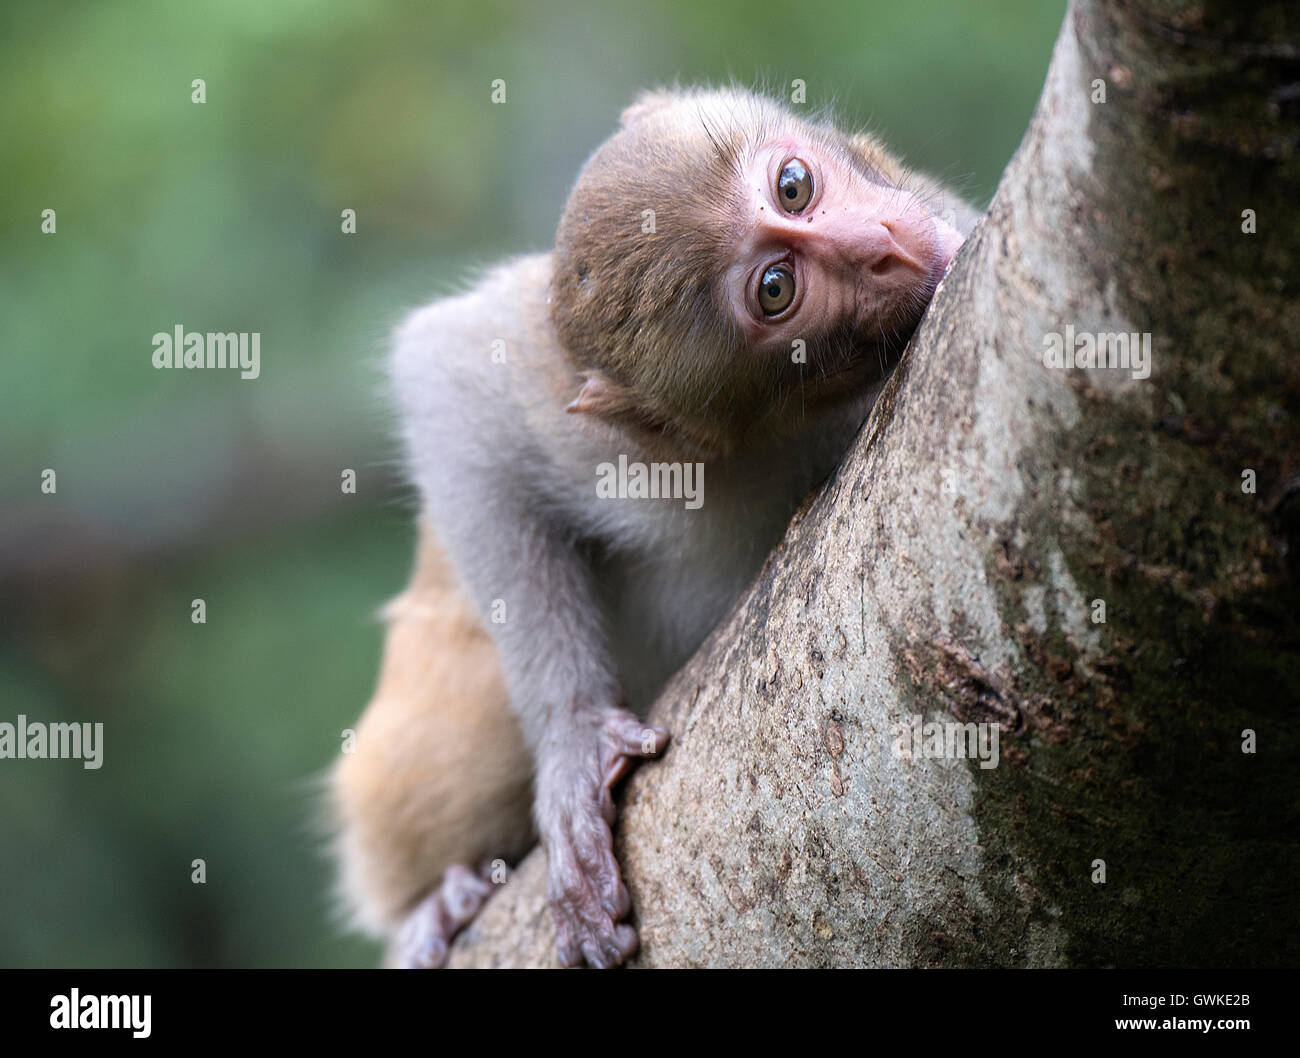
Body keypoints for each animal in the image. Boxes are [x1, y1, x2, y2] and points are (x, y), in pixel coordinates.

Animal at [331, 86, 980, 969]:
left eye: (793, 186)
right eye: (775, 289)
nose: (878, 244)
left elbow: (443, 365)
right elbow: (447, 380)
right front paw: (573, 741)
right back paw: (431, 903)